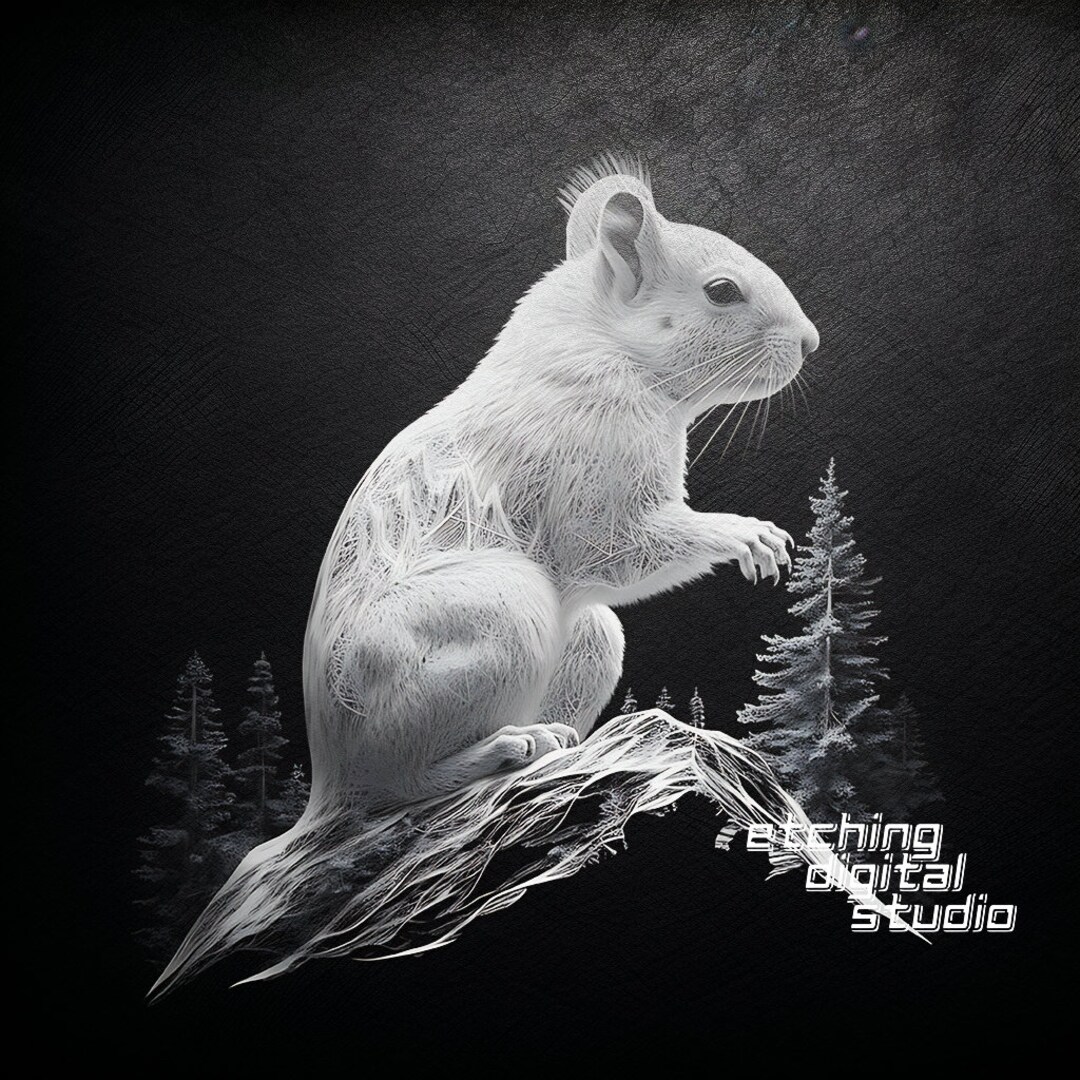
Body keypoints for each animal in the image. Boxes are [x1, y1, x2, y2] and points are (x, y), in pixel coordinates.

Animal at [302, 154, 819, 812]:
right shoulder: (589, 458)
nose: (810, 342)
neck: (607, 347)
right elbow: (606, 547)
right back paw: (507, 748)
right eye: (721, 291)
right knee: (391, 784)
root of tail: (328, 780)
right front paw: (746, 534)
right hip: (494, 616)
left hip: (588, 642)